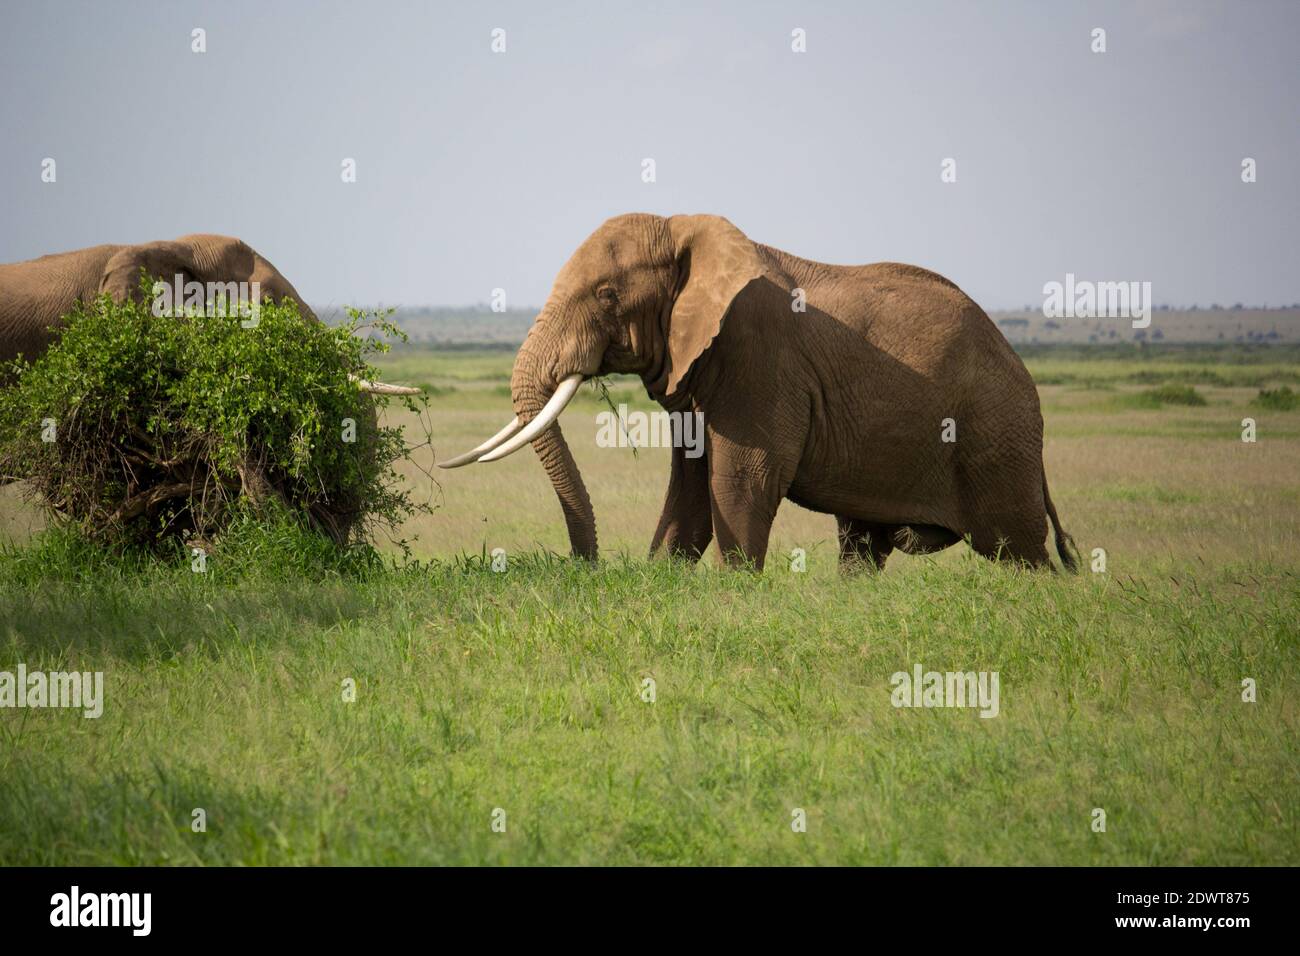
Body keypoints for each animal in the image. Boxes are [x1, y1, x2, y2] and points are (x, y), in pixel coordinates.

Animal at [442, 212, 1076, 572]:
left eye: (606, 295)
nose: (586, 571)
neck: (685, 230)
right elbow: (691, 486)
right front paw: (661, 582)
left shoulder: (761, 359)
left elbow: (741, 478)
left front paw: (731, 596)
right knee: (862, 544)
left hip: (996, 435)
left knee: (1019, 551)